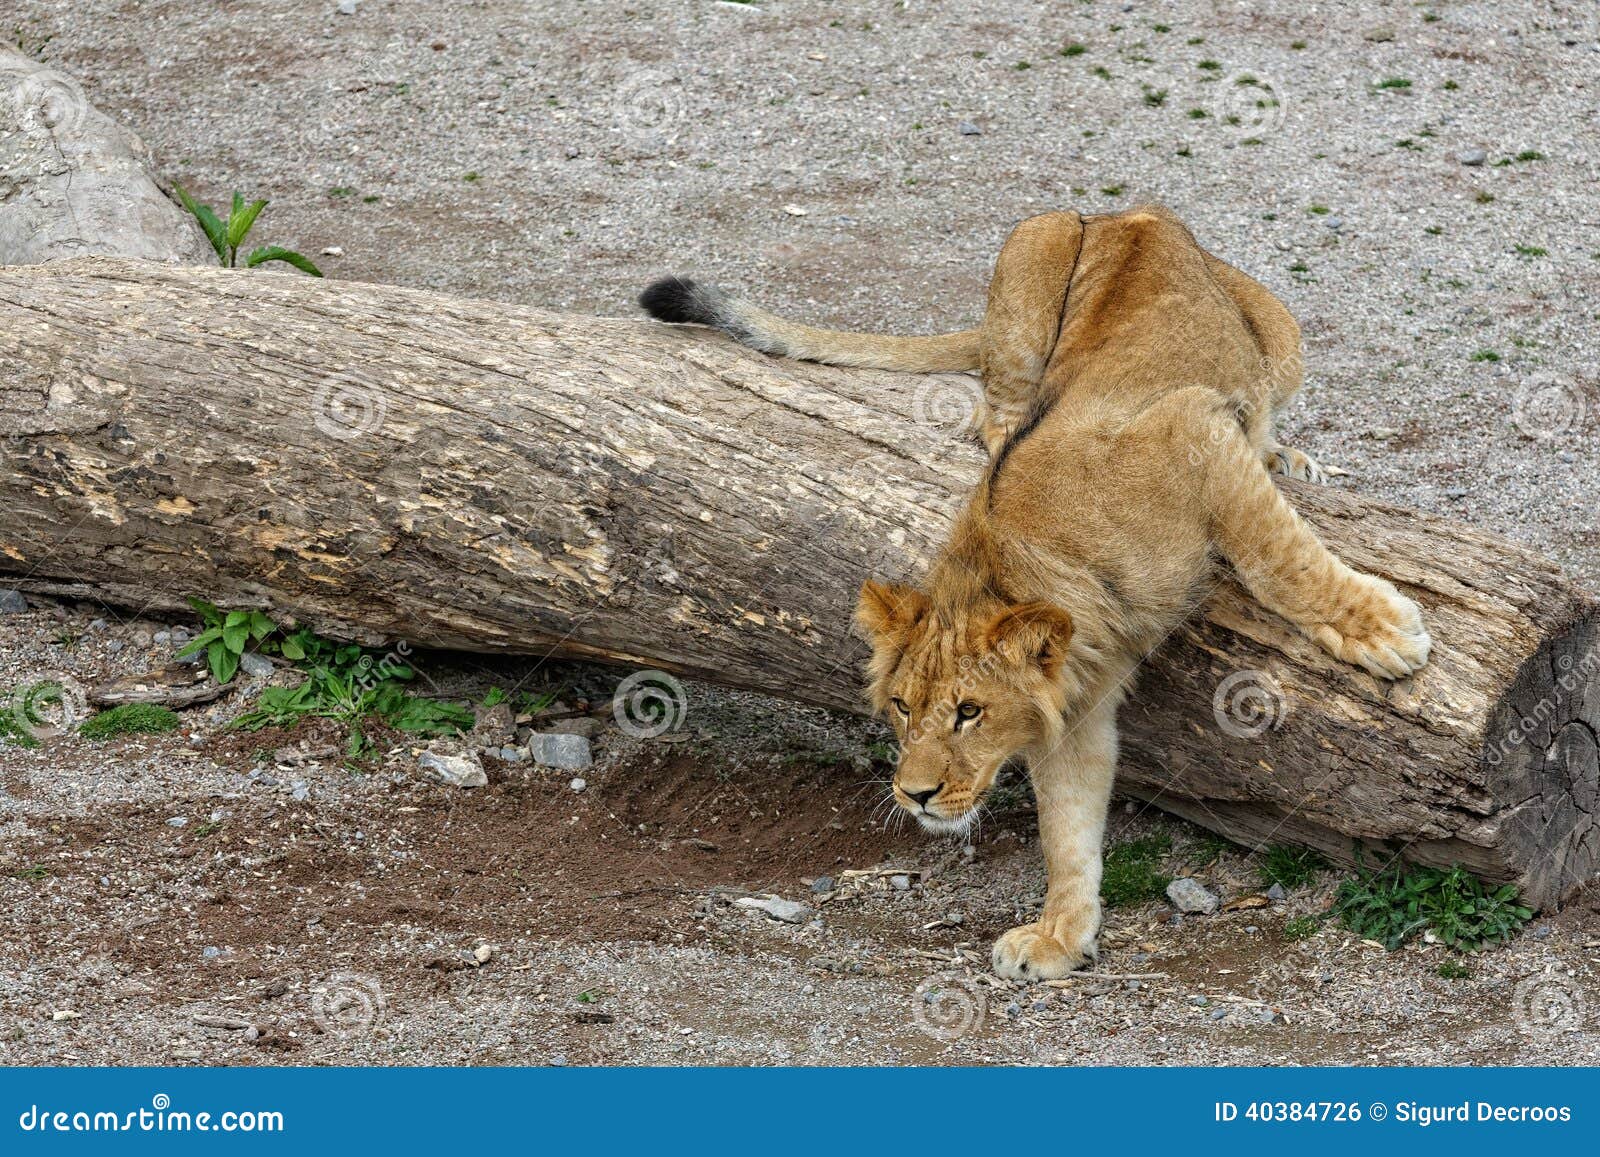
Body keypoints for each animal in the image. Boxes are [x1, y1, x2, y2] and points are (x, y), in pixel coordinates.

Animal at [639, 205, 1431, 979]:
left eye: (968, 712)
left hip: (1276, 332)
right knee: (996, 400)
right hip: (1030, 259)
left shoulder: (1192, 429)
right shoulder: (1075, 710)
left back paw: (1288, 455)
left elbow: (1278, 557)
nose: (913, 796)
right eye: (903, 707)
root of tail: (1124, 212)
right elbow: (1066, 826)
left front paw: (1384, 630)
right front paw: (1058, 932)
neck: (1020, 560)